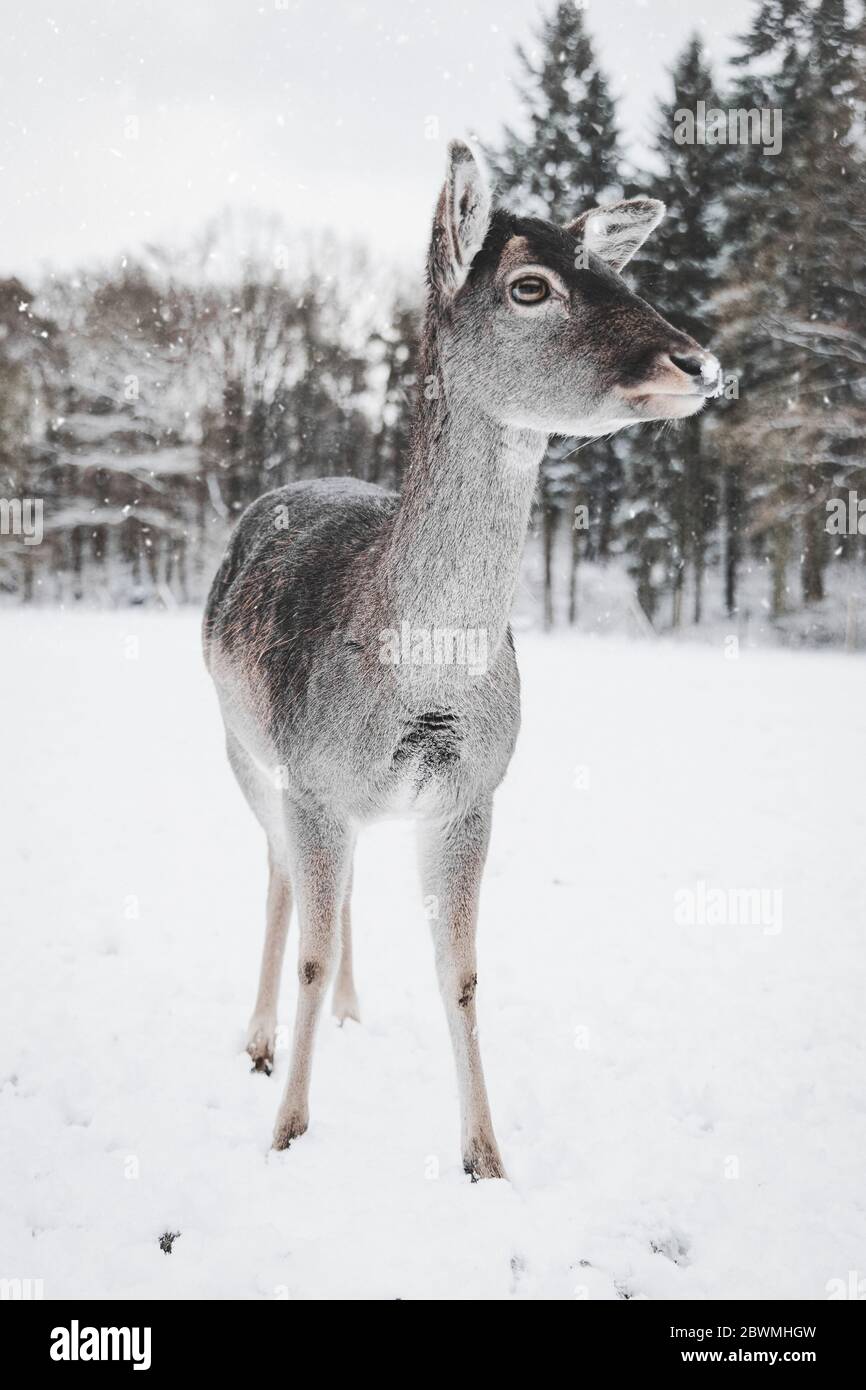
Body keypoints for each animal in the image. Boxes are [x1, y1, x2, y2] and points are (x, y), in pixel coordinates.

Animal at [203, 140, 721, 1180]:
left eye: (623, 273)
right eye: (530, 286)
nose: (699, 361)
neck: (427, 682)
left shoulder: (472, 791)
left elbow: (464, 971)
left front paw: (486, 1156)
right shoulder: (313, 779)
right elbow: (312, 947)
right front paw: (287, 1132)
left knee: (333, 890)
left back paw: (352, 1012)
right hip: (240, 746)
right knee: (279, 871)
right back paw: (260, 1040)